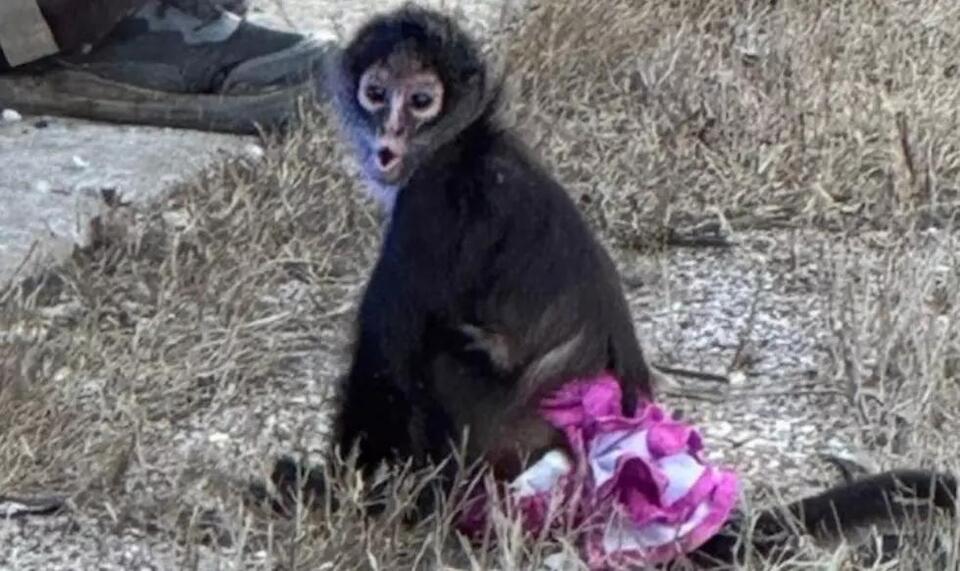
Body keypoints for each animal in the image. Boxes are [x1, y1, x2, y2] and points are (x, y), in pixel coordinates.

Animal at [255, 3, 958, 567]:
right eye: (377, 93)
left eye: (421, 101)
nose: (388, 143)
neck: (467, 143)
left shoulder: (429, 208)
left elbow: (385, 361)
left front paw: (331, 494)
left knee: (438, 350)